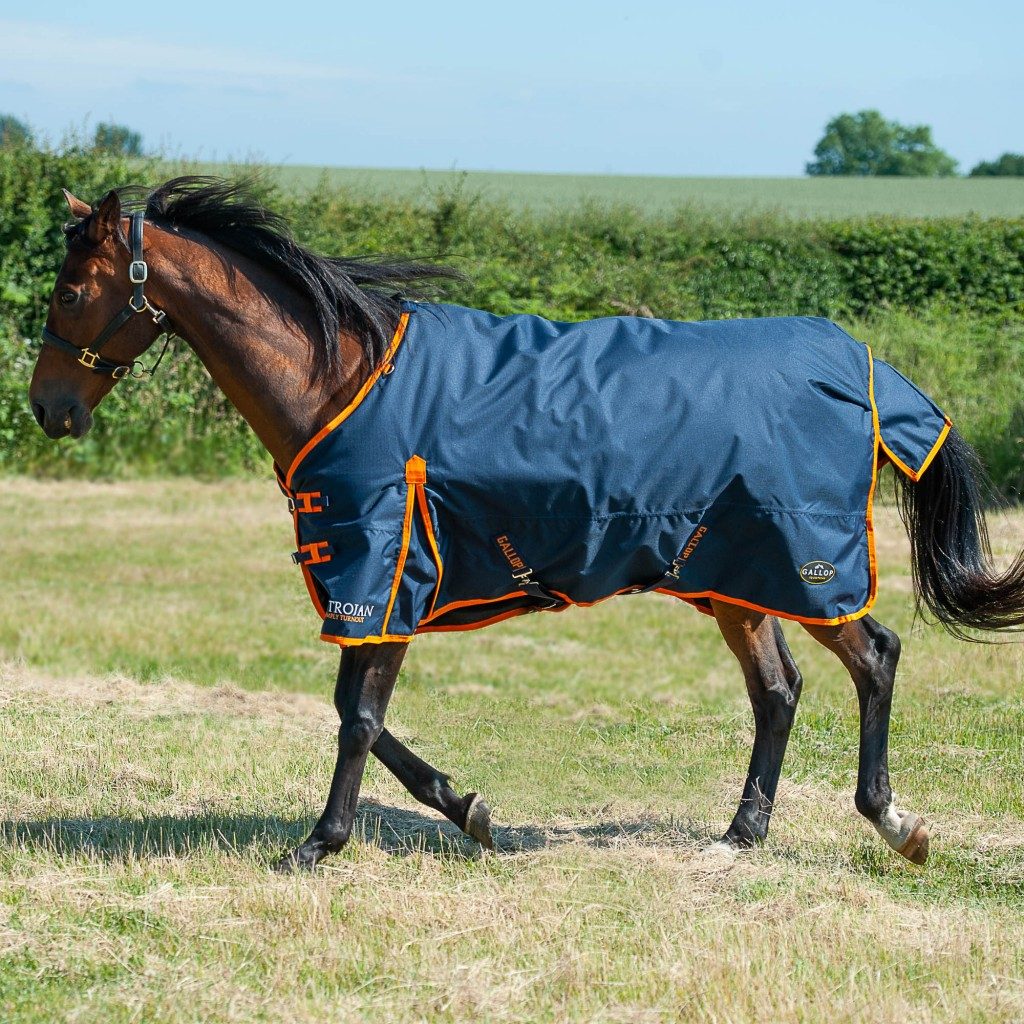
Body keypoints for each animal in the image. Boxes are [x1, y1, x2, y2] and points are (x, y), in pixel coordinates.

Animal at [28, 177, 1024, 873]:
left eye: (71, 293)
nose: (47, 409)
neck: (341, 376)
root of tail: (857, 363)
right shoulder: (381, 583)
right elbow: (364, 717)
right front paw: (467, 808)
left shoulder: (384, 572)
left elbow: (357, 717)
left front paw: (321, 842)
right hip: (731, 575)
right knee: (778, 693)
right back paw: (740, 835)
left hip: (803, 564)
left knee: (875, 658)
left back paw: (896, 823)